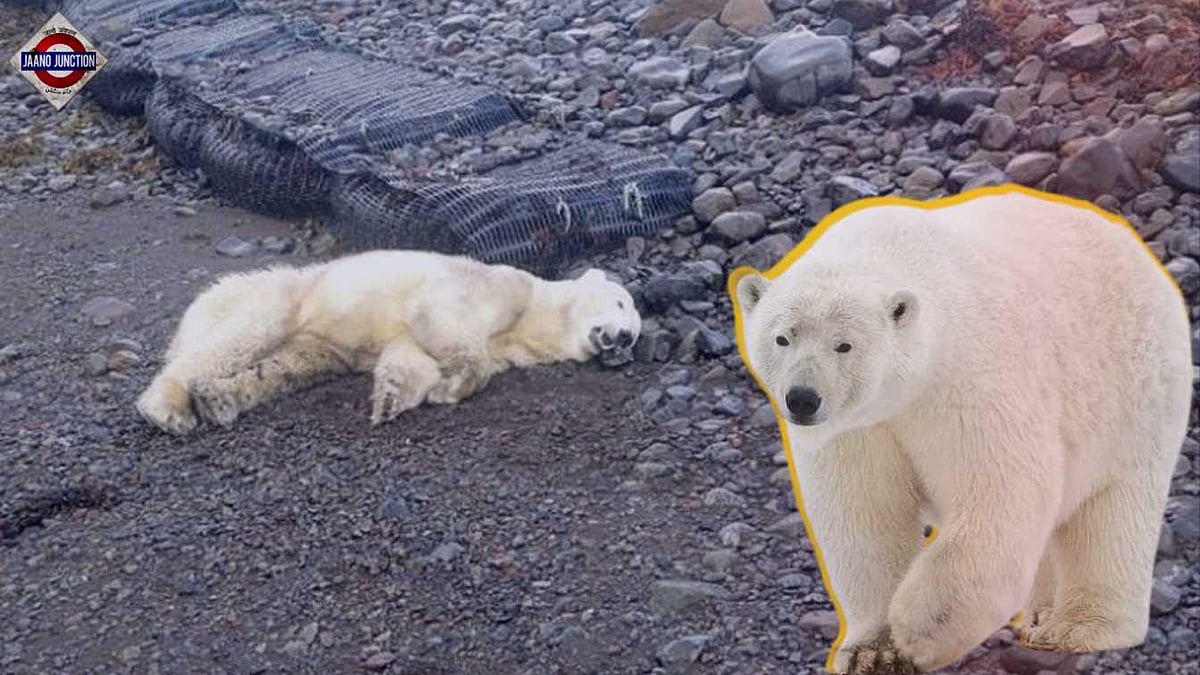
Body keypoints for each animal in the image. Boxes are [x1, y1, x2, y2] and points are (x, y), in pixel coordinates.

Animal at [136, 249, 641, 435]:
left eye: (636, 333)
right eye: (621, 303)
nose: (623, 339)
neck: (536, 315)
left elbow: (410, 355)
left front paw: (393, 398)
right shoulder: (496, 285)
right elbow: (443, 315)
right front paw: (453, 383)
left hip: (314, 342)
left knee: (287, 367)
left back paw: (218, 400)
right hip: (278, 298)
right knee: (240, 339)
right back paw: (168, 409)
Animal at [732, 189, 1193, 674]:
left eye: (844, 345)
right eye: (783, 337)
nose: (802, 399)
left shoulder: (971, 378)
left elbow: (1000, 491)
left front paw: (917, 631)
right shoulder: (860, 427)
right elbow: (865, 514)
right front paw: (872, 651)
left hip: (1135, 396)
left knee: (1111, 513)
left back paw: (1076, 628)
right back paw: (1040, 613)